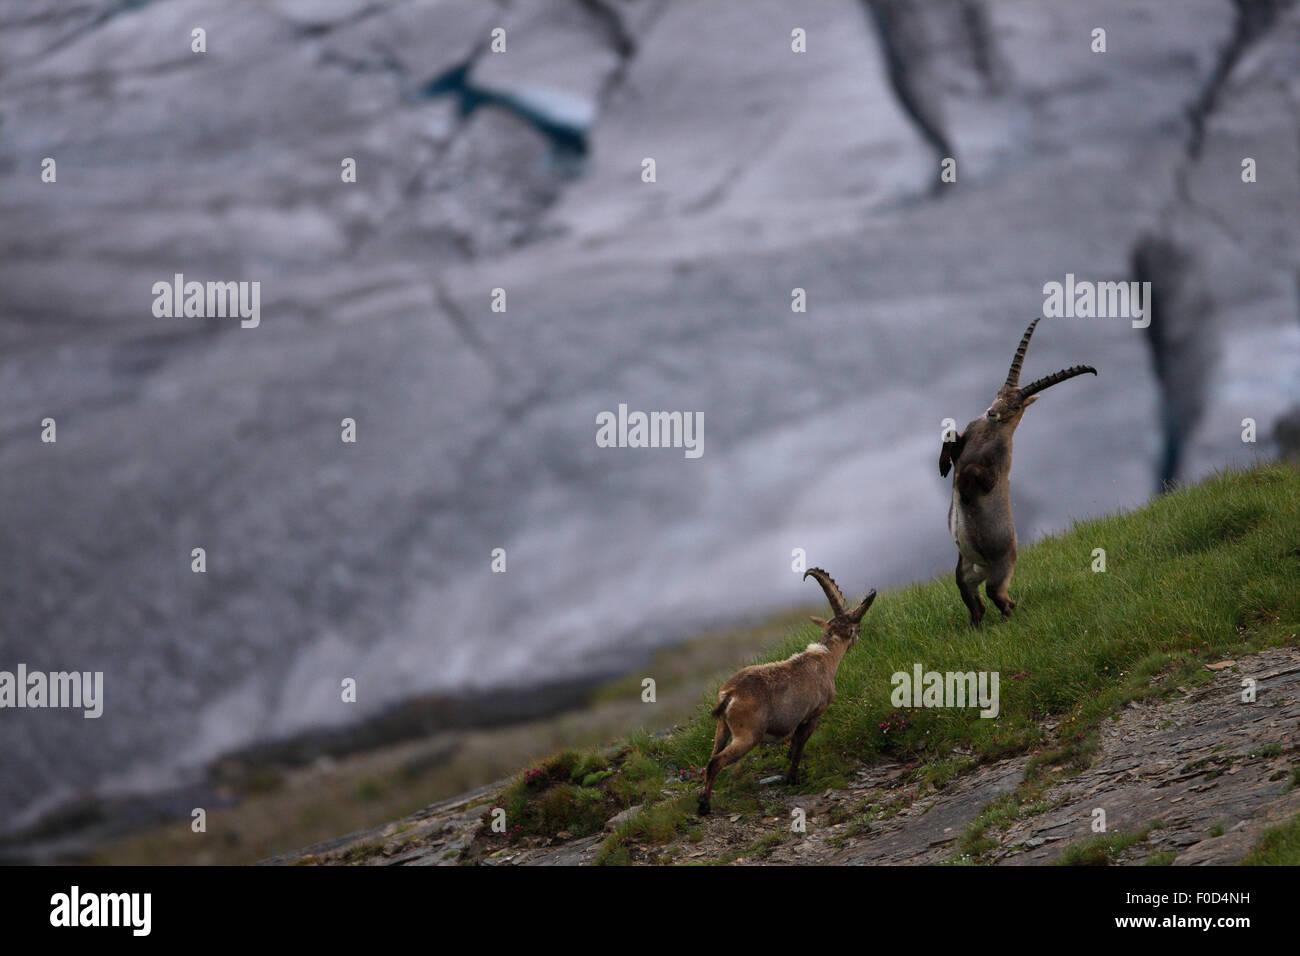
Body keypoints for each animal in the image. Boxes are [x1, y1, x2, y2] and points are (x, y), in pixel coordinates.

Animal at [698, 569, 875, 815]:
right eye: (854, 628)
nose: (856, 639)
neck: (825, 657)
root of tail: (730, 694)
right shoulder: (812, 716)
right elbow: (799, 746)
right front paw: (793, 779)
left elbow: (792, 748)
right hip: (747, 735)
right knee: (716, 762)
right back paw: (704, 806)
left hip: (722, 728)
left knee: (711, 756)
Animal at [940, 318, 1096, 626]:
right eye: (998, 392)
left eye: (1015, 404)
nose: (991, 412)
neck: (988, 434)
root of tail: (984, 567)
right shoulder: (966, 438)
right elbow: (951, 436)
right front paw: (943, 468)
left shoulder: (996, 467)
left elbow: (975, 472)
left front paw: (962, 487)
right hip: (965, 571)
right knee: (972, 598)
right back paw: (977, 625)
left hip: (1002, 567)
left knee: (999, 595)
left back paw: (1007, 617)